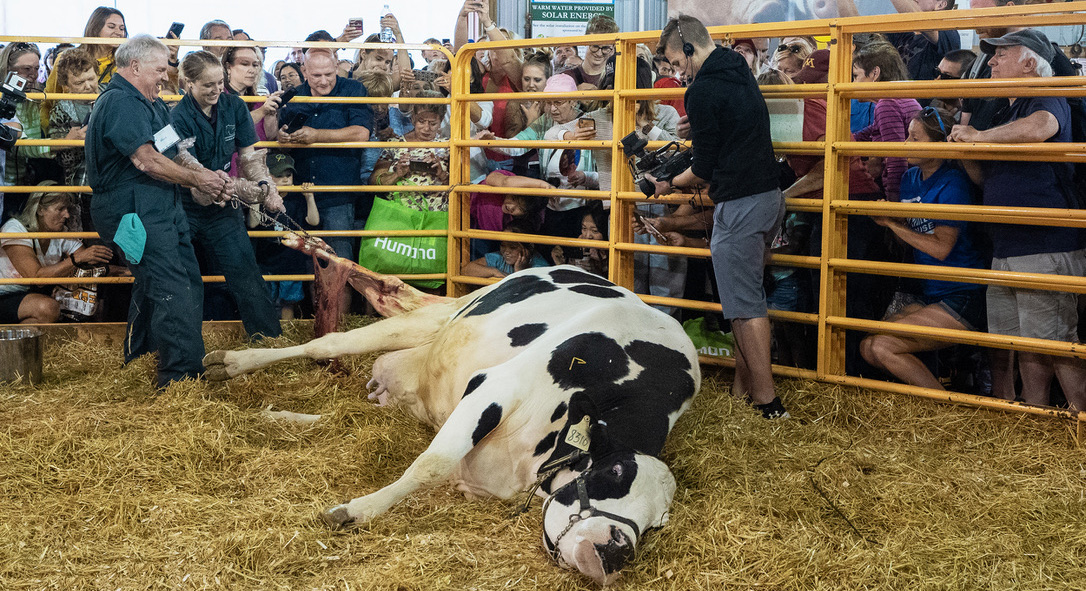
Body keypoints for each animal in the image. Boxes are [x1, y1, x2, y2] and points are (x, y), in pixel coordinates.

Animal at [203, 235, 701, 585]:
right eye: (614, 471)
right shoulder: (496, 386)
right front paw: (356, 510)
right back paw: (232, 361)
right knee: (327, 342)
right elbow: (431, 463)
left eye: (658, 524)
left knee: (360, 412)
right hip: (435, 319)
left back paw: (273, 415)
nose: (616, 551)